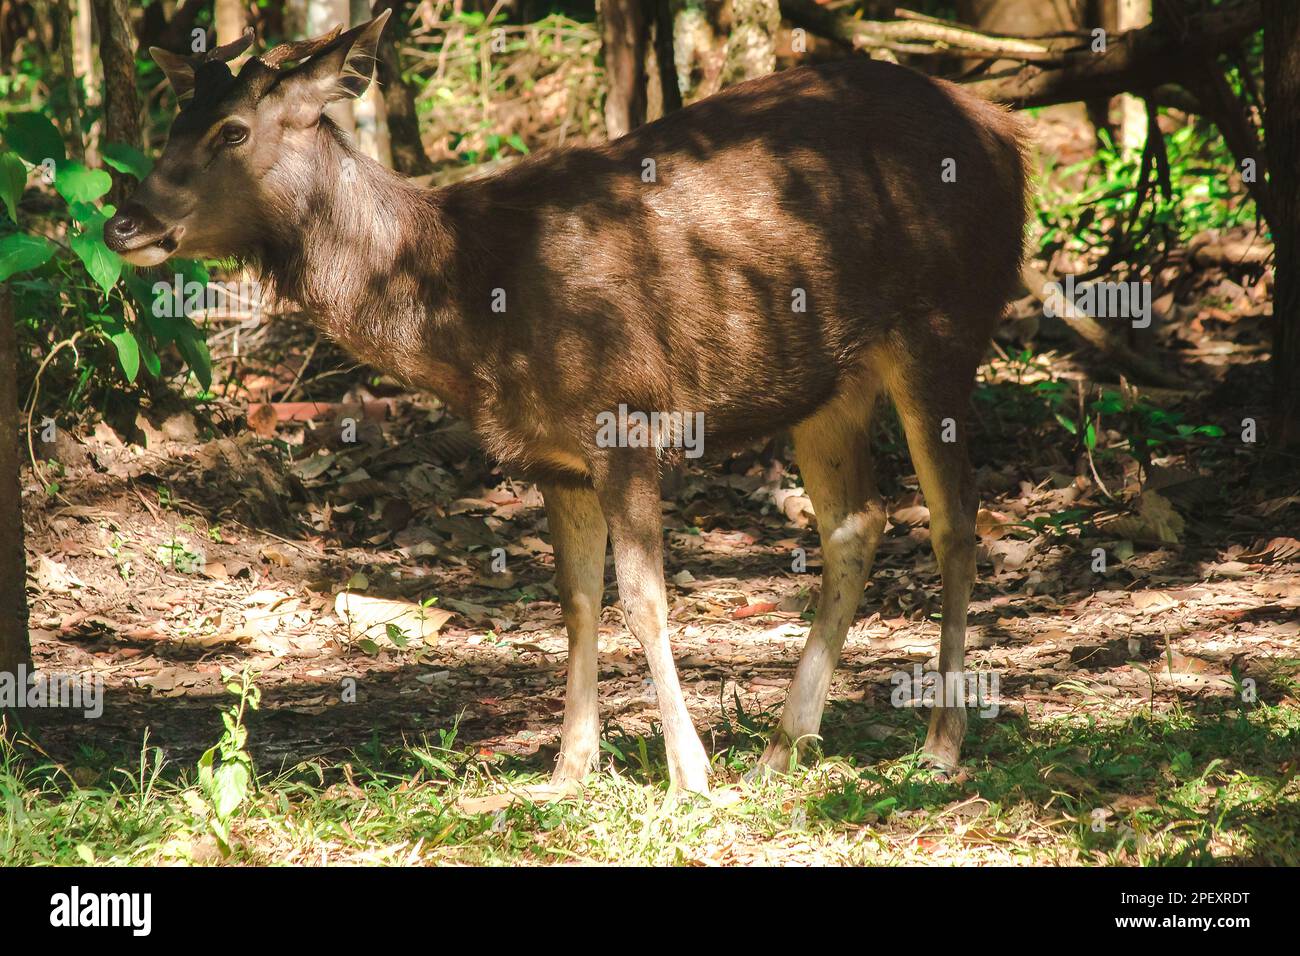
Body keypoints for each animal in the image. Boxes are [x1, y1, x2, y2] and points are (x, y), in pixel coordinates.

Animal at [105, 11, 1030, 794]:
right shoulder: (553, 456)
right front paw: (567, 771)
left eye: (232, 130)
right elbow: (578, 602)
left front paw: (690, 775)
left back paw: (941, 743)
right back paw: (784, 744)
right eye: (171, 126)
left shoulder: (626, 414)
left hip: (944, 326)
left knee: (955, 516)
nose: (124, 221)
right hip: (828, 384)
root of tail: (1008, 135)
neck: (475, 298)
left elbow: (645, 598)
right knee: (856, 523)